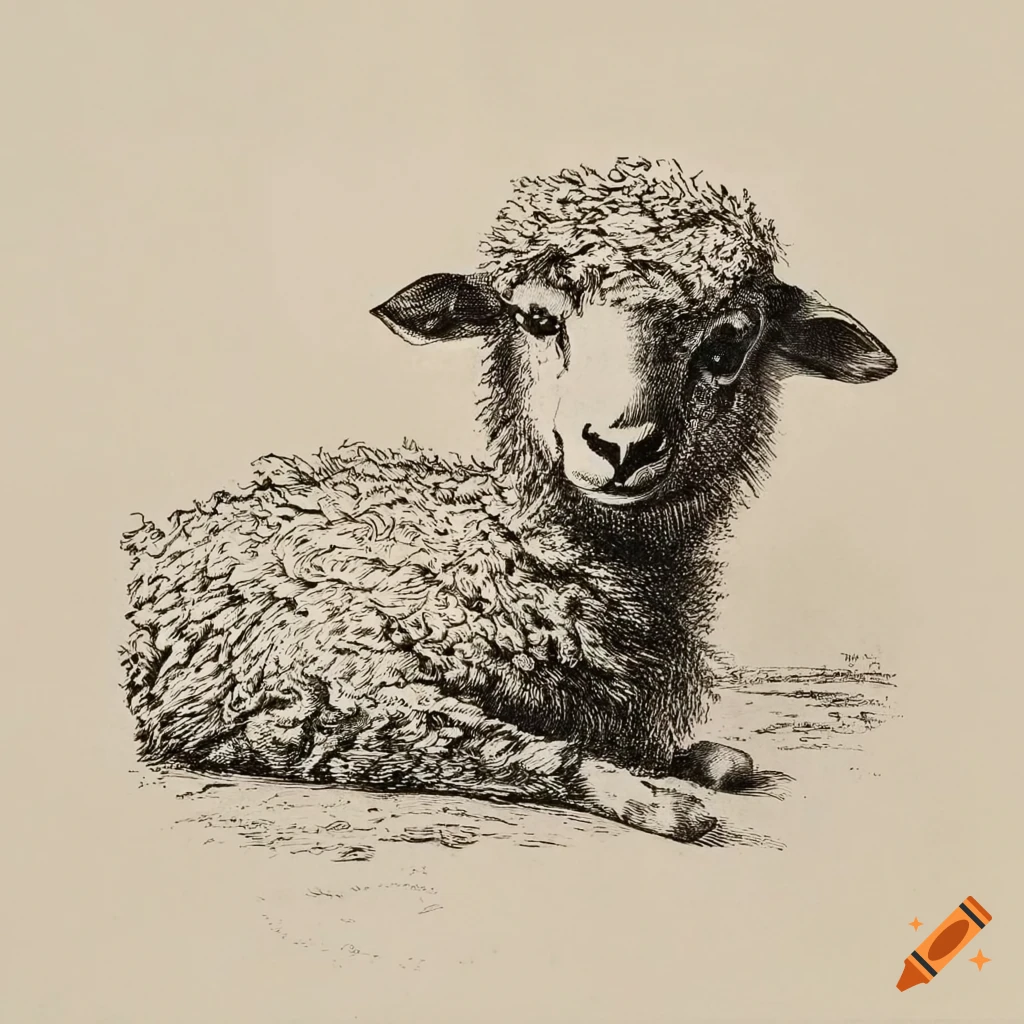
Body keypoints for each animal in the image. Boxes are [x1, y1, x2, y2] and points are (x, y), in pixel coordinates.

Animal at [120, 156, 896, 846]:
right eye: (537, 321)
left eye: (727, 344)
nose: (620, 447)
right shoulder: (321, 696)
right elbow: (533, 752)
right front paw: (661, 802)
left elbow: (718, 759)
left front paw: (698, 762)